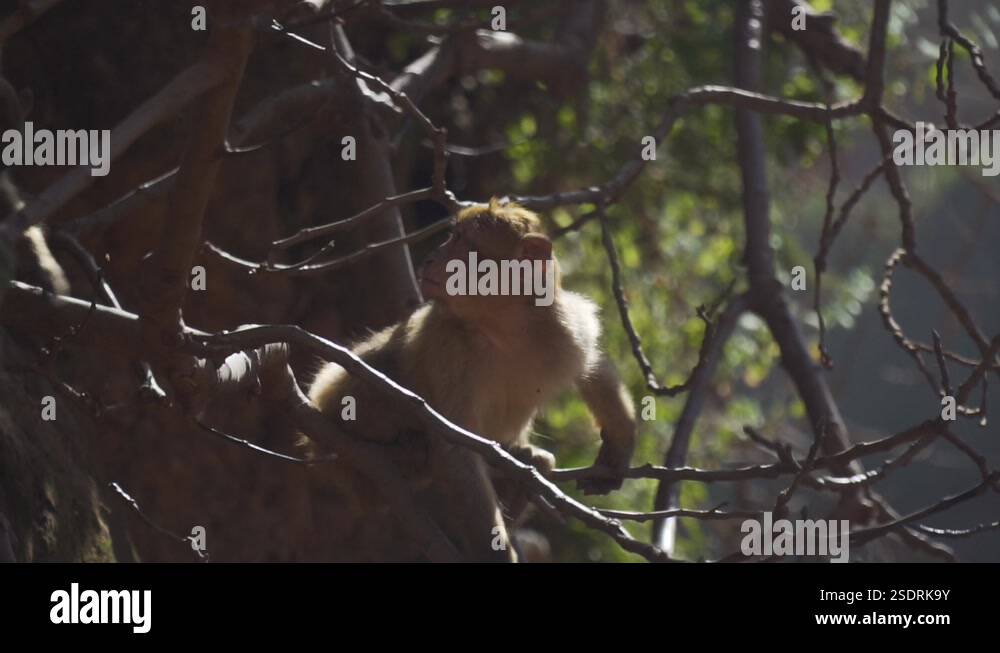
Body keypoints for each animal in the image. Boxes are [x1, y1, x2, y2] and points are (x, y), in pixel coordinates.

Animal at [305, 198, 636, 561]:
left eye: (462, 241)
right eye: (453, 236)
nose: (431, 258)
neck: (504, 327)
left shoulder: (563, 324)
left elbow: (592, 367)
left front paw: (619, 440)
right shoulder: (445, 343)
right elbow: (455, 448)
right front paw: (495, 552)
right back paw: (407, 457)